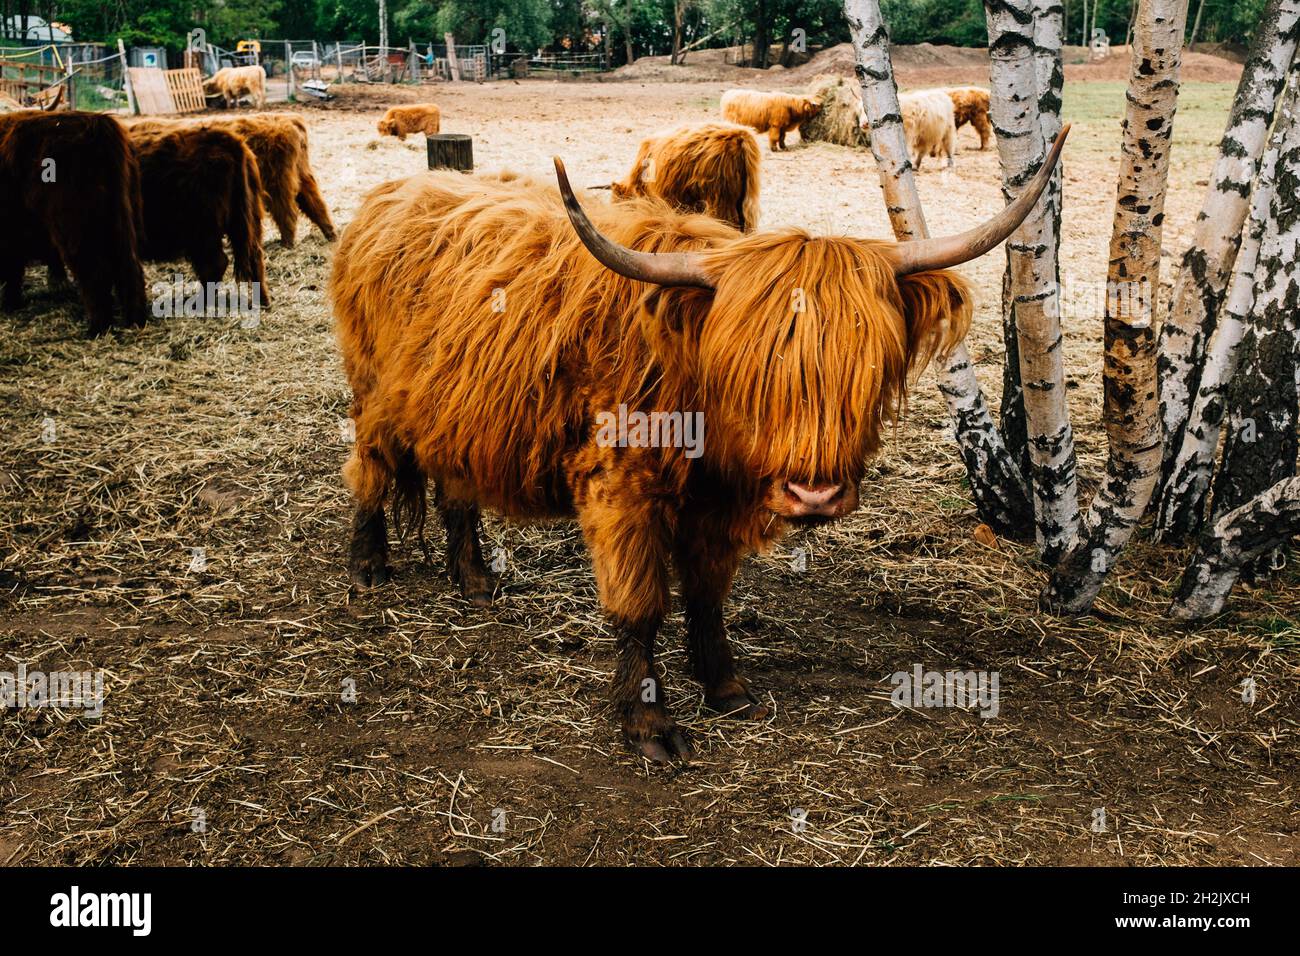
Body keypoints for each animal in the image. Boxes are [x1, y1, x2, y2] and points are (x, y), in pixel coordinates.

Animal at [0, 111, 147, 335]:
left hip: (73, 227)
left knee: (93, 271)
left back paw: (98, 327)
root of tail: (97, 122)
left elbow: (12, 268)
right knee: (130, 267)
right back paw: (135, 321)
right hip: (127, 217)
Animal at [126, 124, 268, 303]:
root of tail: (228, 139)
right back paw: (263, 300)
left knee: (216, 264)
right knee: (254, 256)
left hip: (202, 231)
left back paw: (198, 301)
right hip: (247, 220)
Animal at [127, 113, 335, 246]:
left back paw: (286, 243)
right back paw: (330, 233)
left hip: (276, 181)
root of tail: (289, 119)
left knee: (286, 210)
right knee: (314, 202)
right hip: (300, 174)